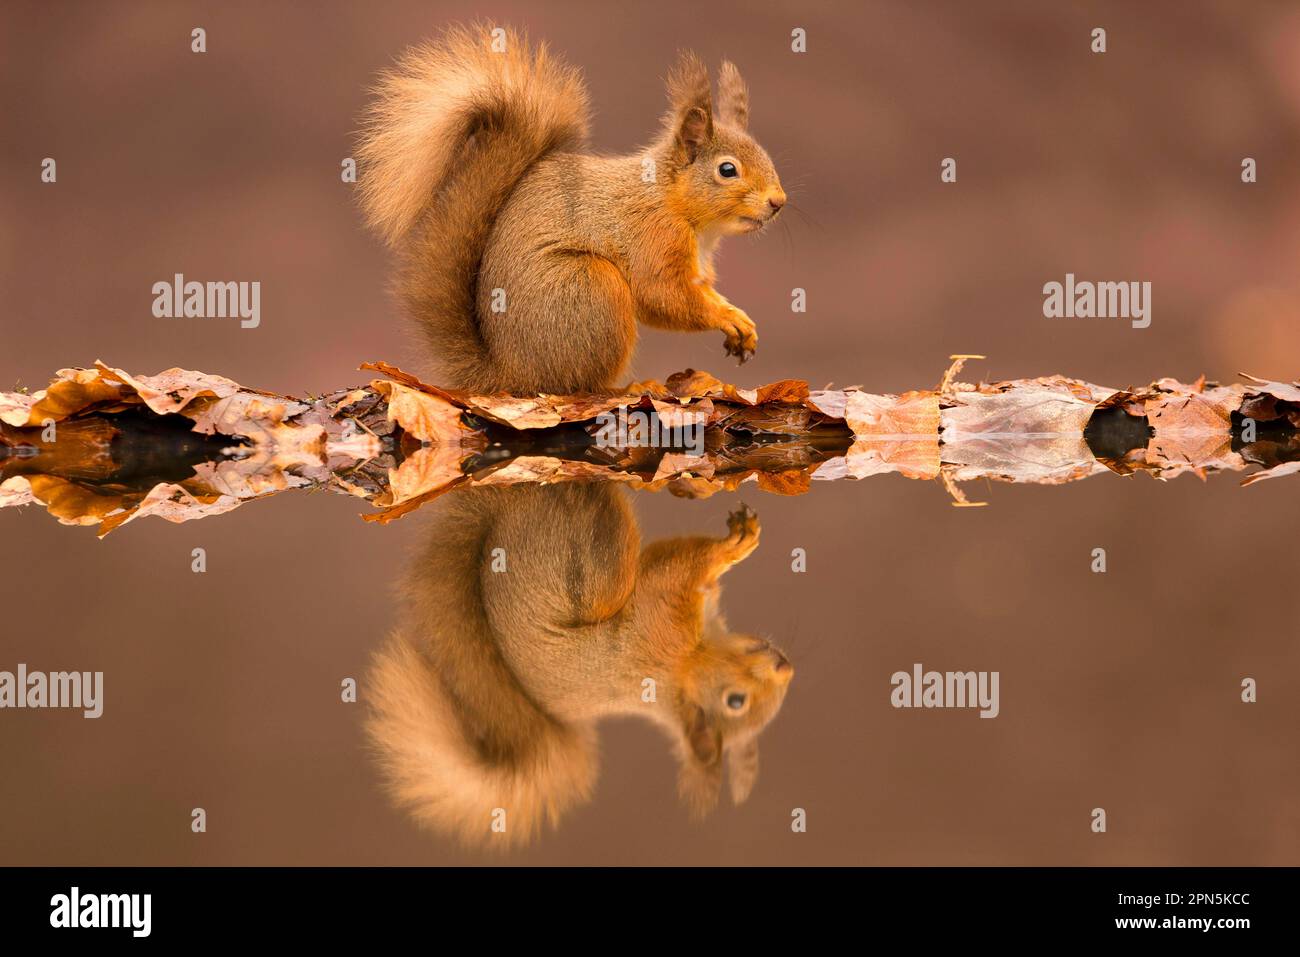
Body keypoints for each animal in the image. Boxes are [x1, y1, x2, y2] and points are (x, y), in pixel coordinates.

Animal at [357, 24, 786, 395]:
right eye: (727, 170)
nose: (778, 202)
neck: (676, 203)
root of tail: (510, 374)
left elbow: (700, 293)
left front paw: (739, 319)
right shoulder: (653, 235)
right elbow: (663, 295)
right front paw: (724, 318)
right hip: (590, 289)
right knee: (581, 385)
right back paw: (630, 388)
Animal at [364, 484, 793, 847]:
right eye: (735, 702)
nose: (784, 666)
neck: (684, 671)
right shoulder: (663, 617)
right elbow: (684, 564)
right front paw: (736, 545)